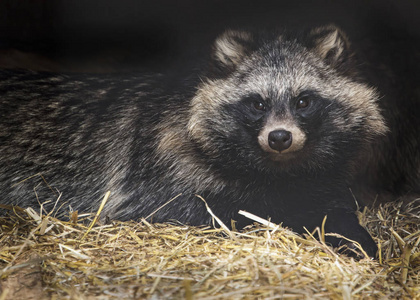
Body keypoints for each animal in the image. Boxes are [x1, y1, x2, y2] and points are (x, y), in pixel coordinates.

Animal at [0, 25, 400, 258]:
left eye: (304, 101)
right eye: (257, 103)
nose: (279, 137)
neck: (278, 169)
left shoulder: (321, 177)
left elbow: (330, 205)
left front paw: (352, 234)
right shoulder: (159, 173)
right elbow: (221, 212)